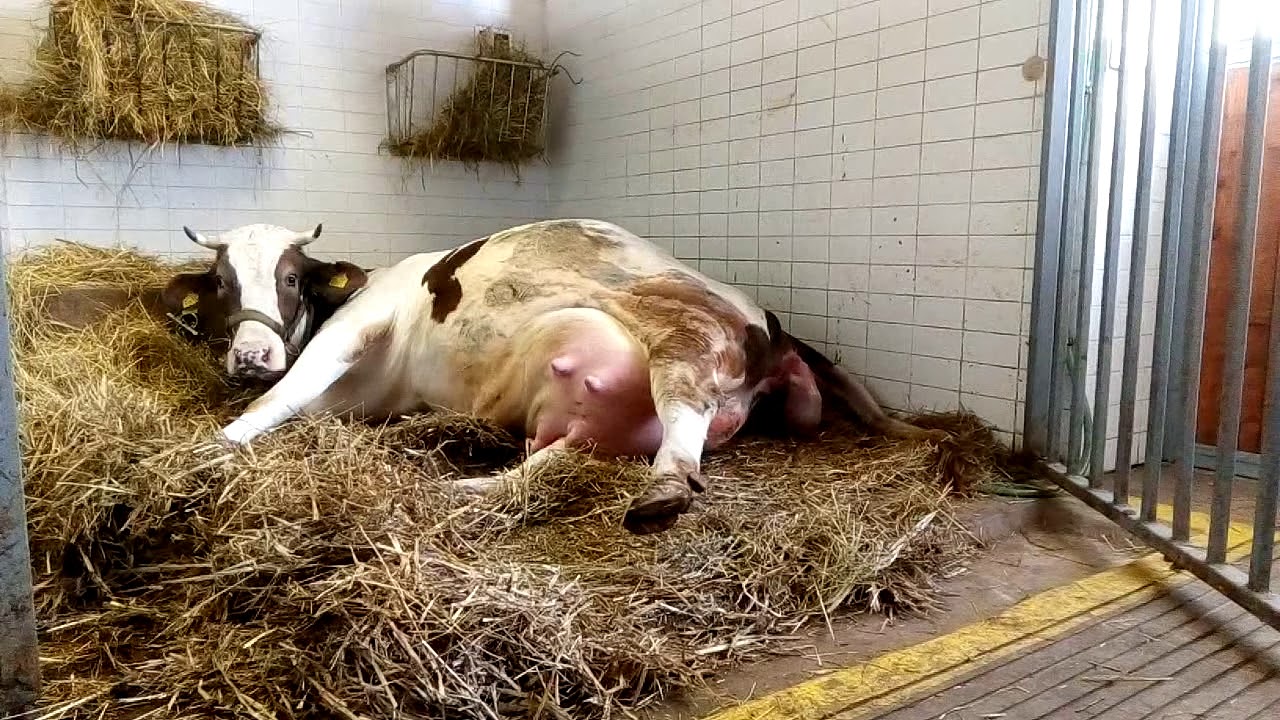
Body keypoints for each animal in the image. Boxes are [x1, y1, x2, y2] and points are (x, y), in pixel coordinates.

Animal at [202, 219, 949, 534]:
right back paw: (457, 488)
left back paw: (664, 492)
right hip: (589, 417)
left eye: (291, 277)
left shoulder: (358, 324)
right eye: (219, 283)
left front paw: (215, 445)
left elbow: (287, 393)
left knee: (685, 413)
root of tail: (772, 323)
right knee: (547, 464)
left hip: (685, 330)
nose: (250, 356)